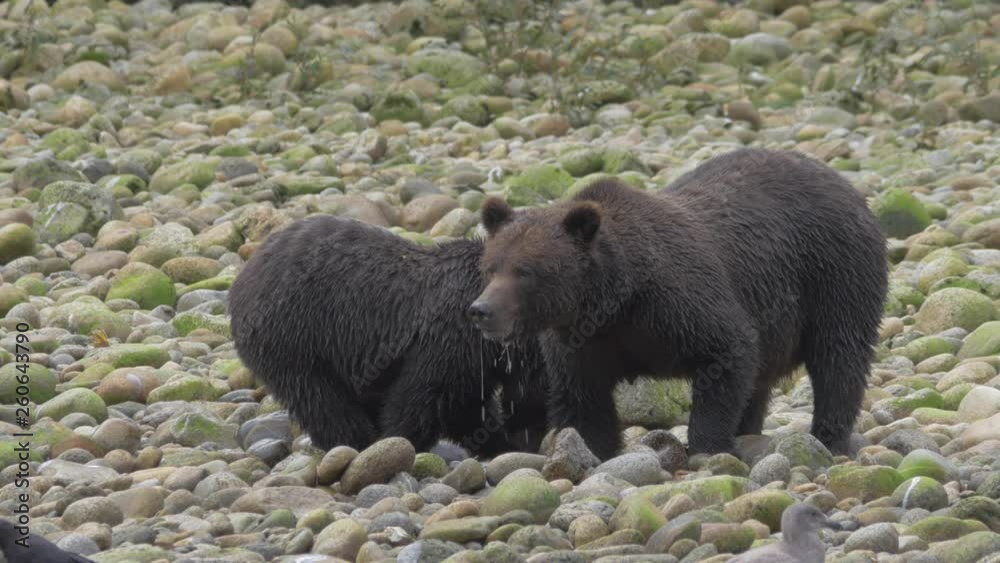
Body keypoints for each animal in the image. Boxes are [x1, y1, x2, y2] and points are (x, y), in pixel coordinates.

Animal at [229, 214, 547, 456]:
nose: (536, 440)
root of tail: (246, 272)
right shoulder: (450, 337)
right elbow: (421, 396)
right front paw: (396, 441)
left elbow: (469, 408)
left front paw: (502, 443)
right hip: (295, 335)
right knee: (320, 397)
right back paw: (355, 441)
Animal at [468, 148, 888, 460]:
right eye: (490, 267)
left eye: (525, 271)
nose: (481, 310)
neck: (614, 301)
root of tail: (848, 186)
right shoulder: (581, 341)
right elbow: (583, 399)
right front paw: (593, 452)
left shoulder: (679, 304)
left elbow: (727, 353)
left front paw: (706, 446)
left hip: (833, 271)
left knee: (838, 355)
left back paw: (829, 436)